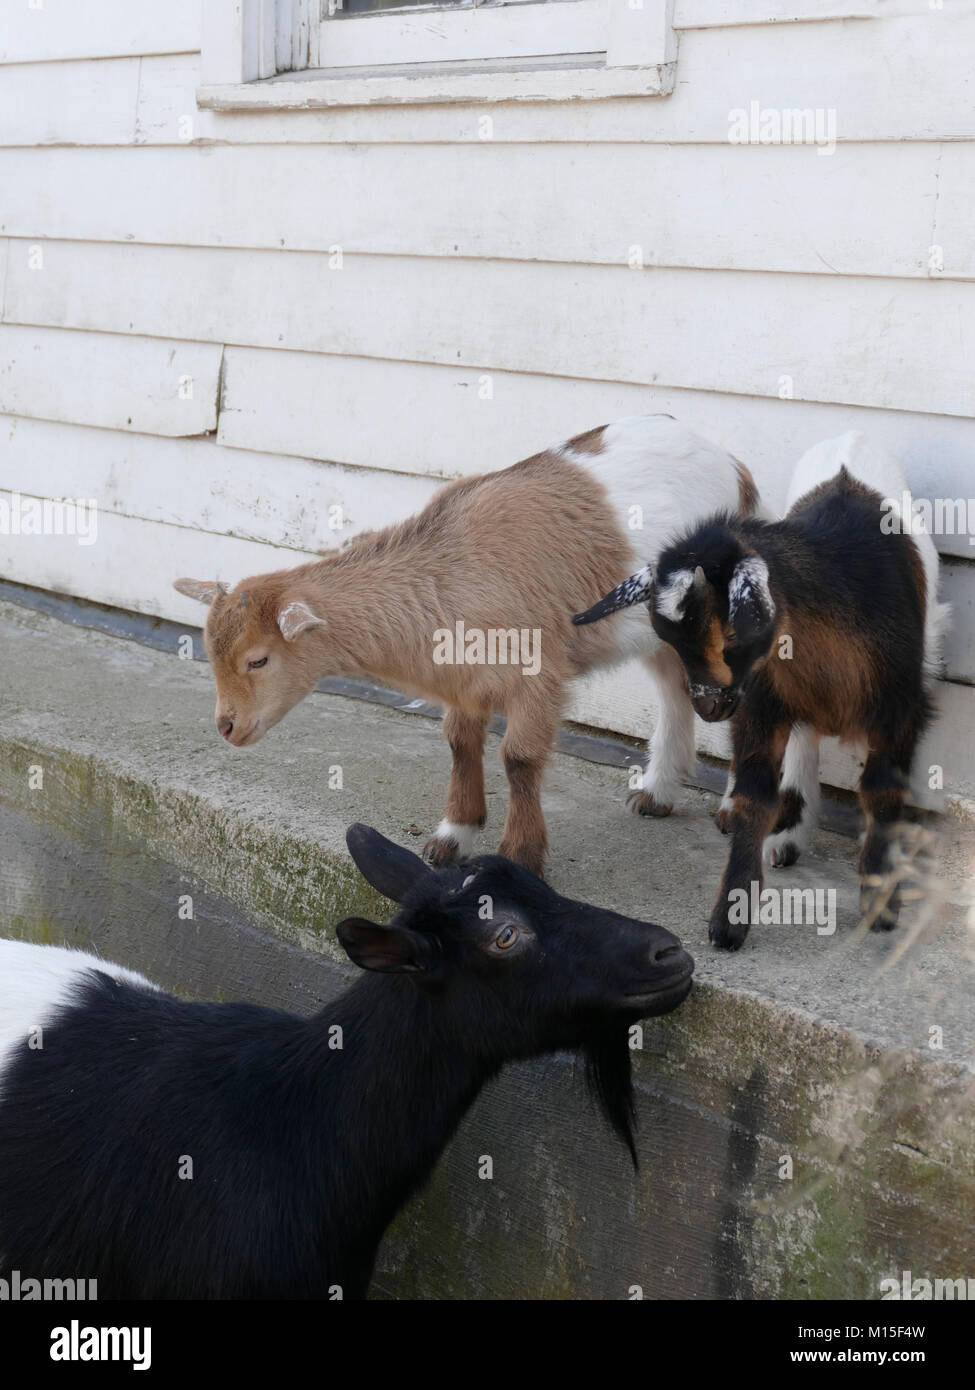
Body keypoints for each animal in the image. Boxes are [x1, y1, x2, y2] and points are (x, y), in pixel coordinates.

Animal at [174, 415, 763, 877]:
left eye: (258, 659)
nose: (227, 727)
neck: (451, 572)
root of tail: (735, 467)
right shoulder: (462, 676)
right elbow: (459, 742)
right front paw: (453, 836)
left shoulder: (537, 672)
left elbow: (520, 758)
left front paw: (519, 857)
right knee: (673, 689)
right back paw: (658, 793)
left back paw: (734, 808)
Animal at [573, 432, 949, 950]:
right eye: (670, 639)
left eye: (732, 631)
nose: (708, 705)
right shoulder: (763, 706)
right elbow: (753, 800)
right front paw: (730, 917)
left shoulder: (900, 710)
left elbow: (882, 794)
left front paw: (880, 902)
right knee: (807, 741)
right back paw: (788, 834)